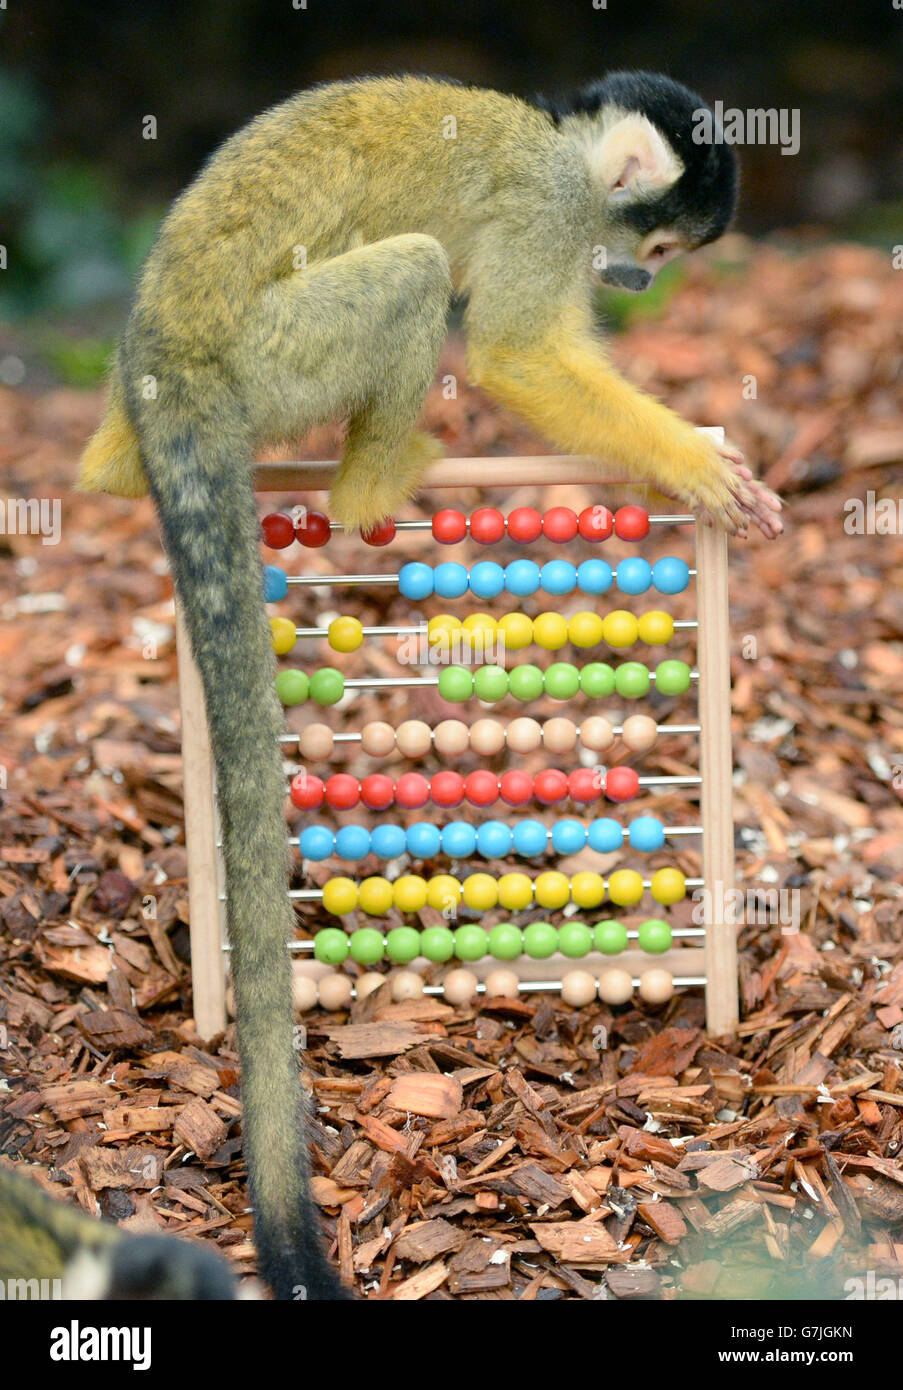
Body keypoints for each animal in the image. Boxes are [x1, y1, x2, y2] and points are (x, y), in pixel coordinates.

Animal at [74, 72, 783, 1301]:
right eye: (650, 244)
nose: (641, 280)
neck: (560, 143)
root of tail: (173, 358)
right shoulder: (551, 213)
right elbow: (514, 354)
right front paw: (694, 462)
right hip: (272, 360)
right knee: (409, 273)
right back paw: (371, 483)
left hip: (152, 379)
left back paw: (117, 469)